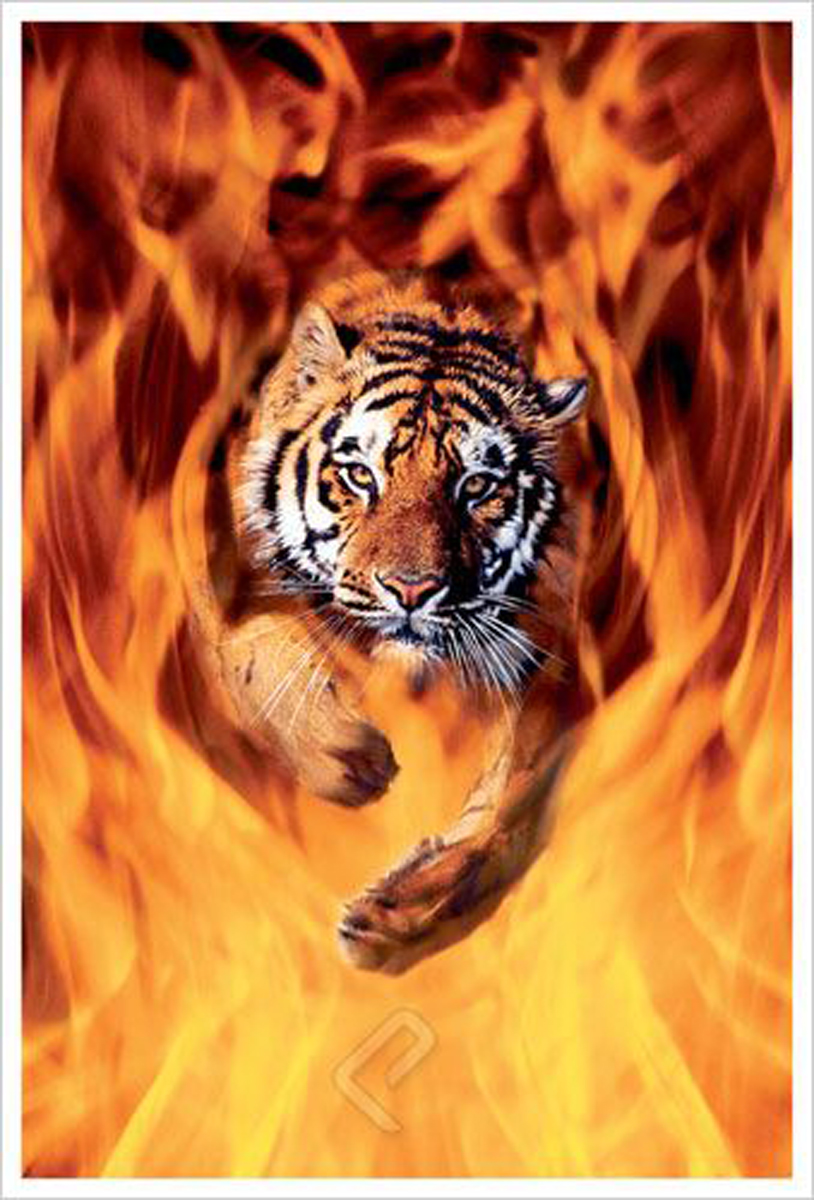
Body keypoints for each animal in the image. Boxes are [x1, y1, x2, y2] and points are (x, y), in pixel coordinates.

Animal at [178, 270, 589, 973]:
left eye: (476, 487)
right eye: (359, 475)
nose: (412, 589)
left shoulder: (543, 649)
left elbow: (516, 796)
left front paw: (403, 915)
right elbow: (251, 649)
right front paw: (347, 758)